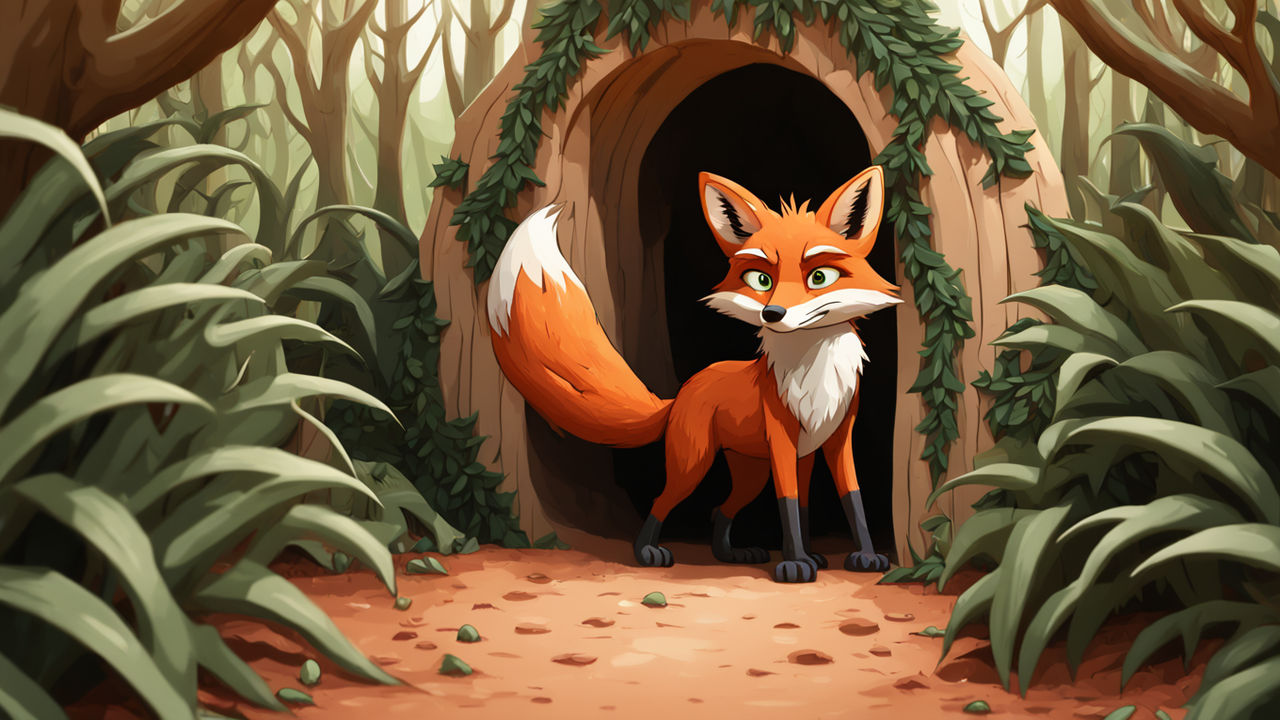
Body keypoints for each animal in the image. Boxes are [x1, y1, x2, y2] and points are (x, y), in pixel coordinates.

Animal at [486, 166, 901, 583]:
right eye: (761, 280)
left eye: (819, 277)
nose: (773, 314)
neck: (815, 374)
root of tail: (682, 391)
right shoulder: (783, 440)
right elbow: (790, 503)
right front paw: (795, 563)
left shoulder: (830, 441)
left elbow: (846, 500)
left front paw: (861, 556)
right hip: (694, 463)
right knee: (664, 499)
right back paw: (648, 552)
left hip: (750, 472)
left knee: (721, 508)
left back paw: (730, 553)